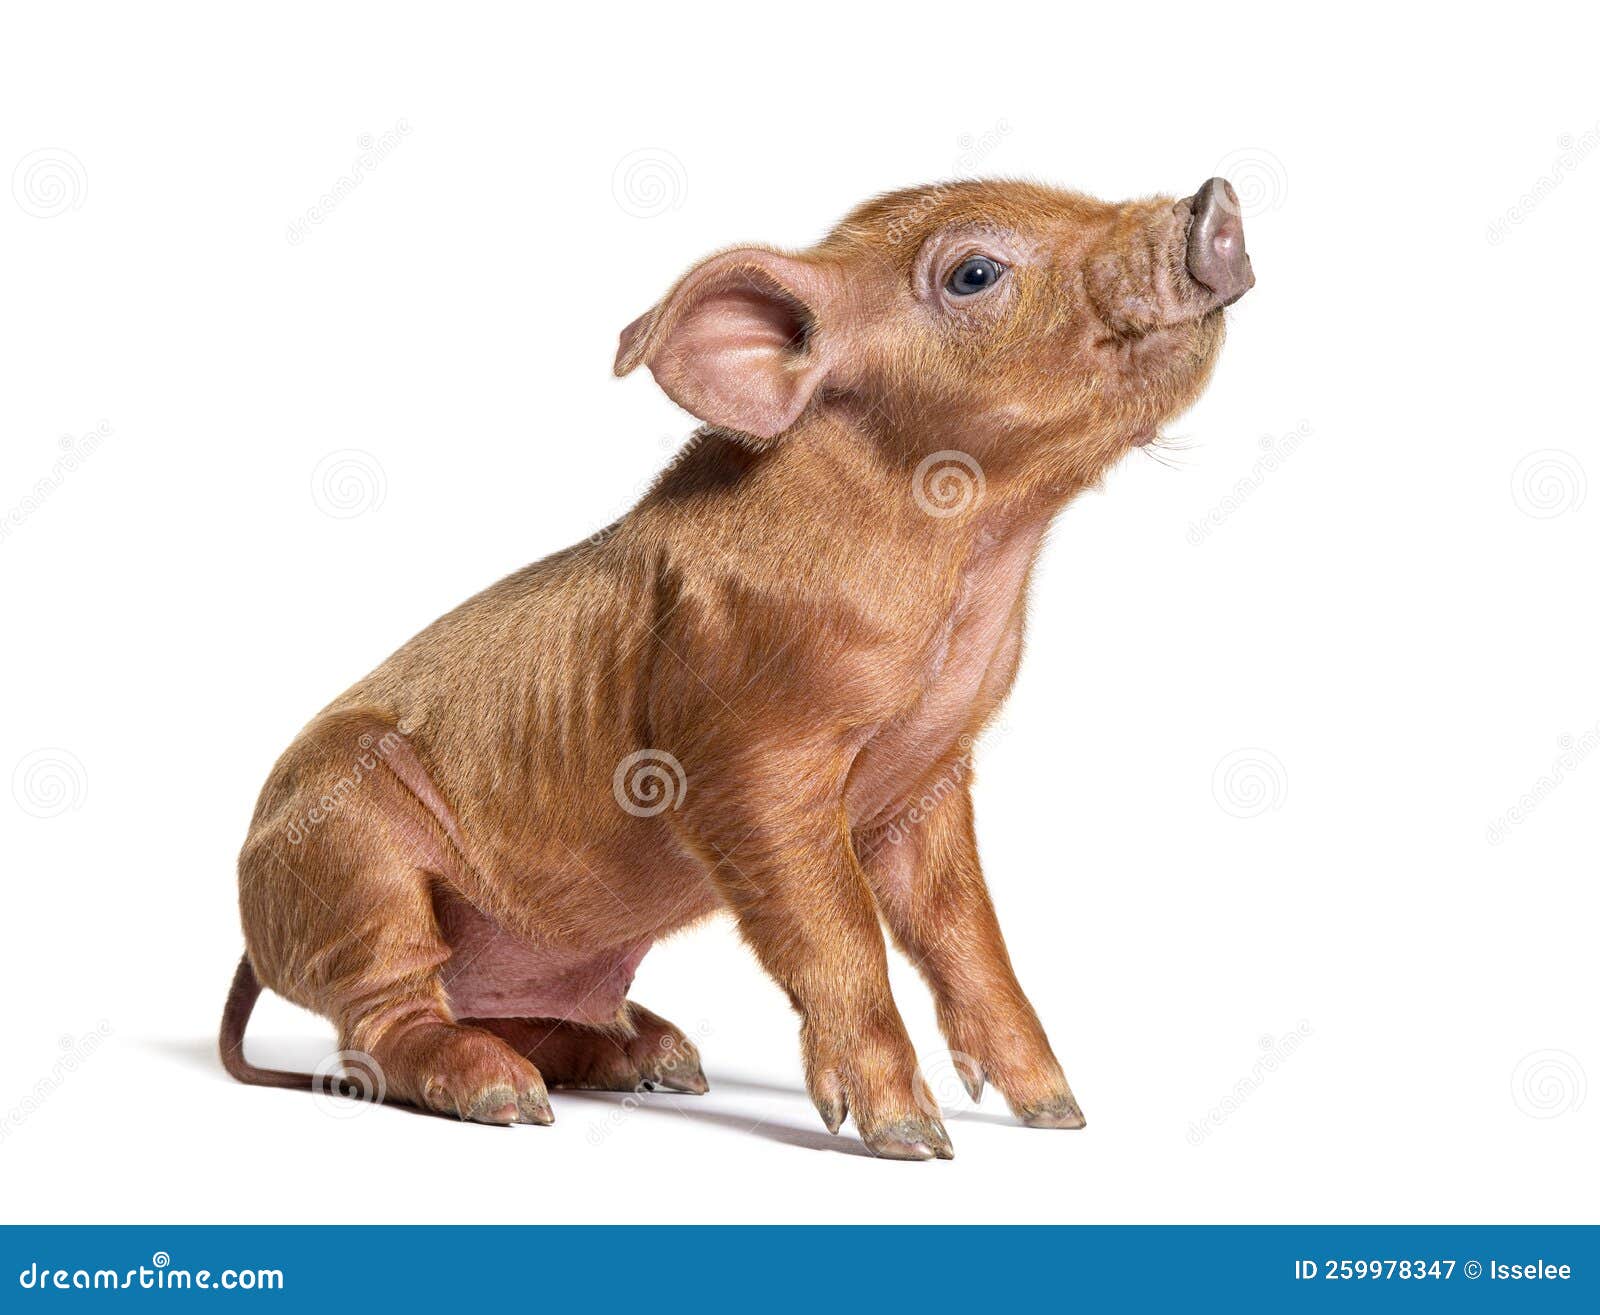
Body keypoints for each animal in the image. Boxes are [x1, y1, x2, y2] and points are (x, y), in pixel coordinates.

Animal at [220, 176, 1254, 1159]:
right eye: (973, 273)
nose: (1216, 201)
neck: (973, 567)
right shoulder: (742, 757)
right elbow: (840, 932)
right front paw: (913, 1141)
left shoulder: (929, 775)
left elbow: (964, 929)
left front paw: (1060, 1114)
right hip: (351, 850)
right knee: (384, 1020)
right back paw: (510, 1097)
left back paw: (663, 1060)